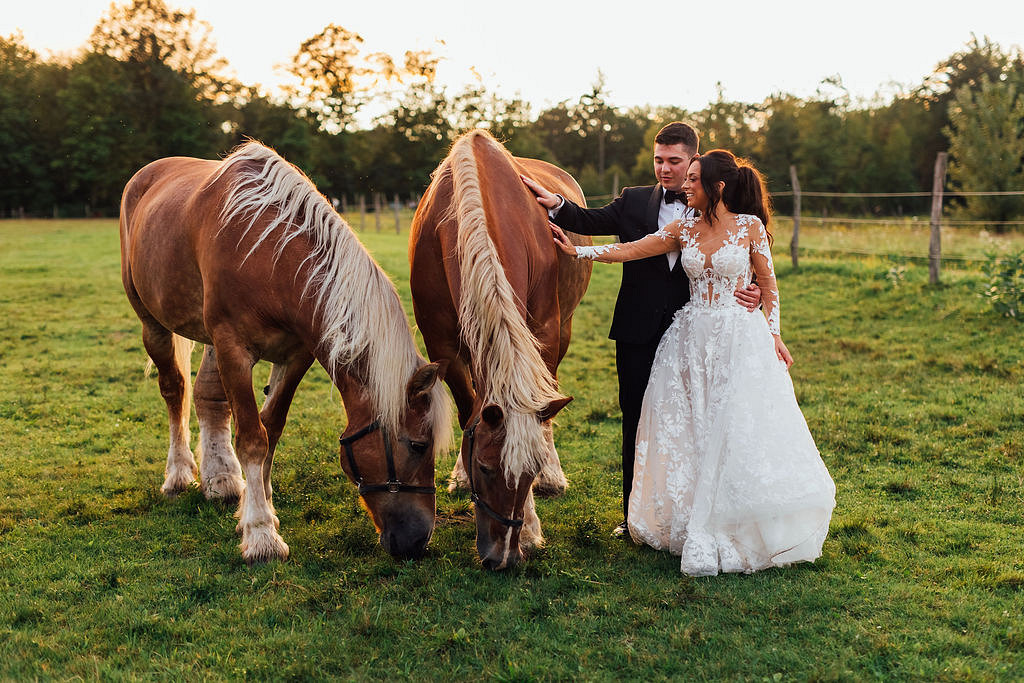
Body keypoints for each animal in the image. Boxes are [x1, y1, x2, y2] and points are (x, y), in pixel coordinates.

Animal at [119, 141, 452, 564]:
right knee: (174, 391)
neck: (270, 256)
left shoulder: (296, 356)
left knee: (209, 397)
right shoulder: (233, 350)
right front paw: (261, 534)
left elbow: (271, 429)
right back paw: (178, 474)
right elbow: (252, 438)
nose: (419, 541)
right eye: (419, 445)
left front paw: (256, 506)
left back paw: (221, 477)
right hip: (153, 323)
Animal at [409, 129, 592, 569]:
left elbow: (537, 415)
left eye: (529, 471)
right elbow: (467, 412)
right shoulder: (442, 344)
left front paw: (530, 525)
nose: (503, 557)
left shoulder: (544, 332)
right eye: (484, 467)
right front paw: (462, 473)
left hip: (564, 329)